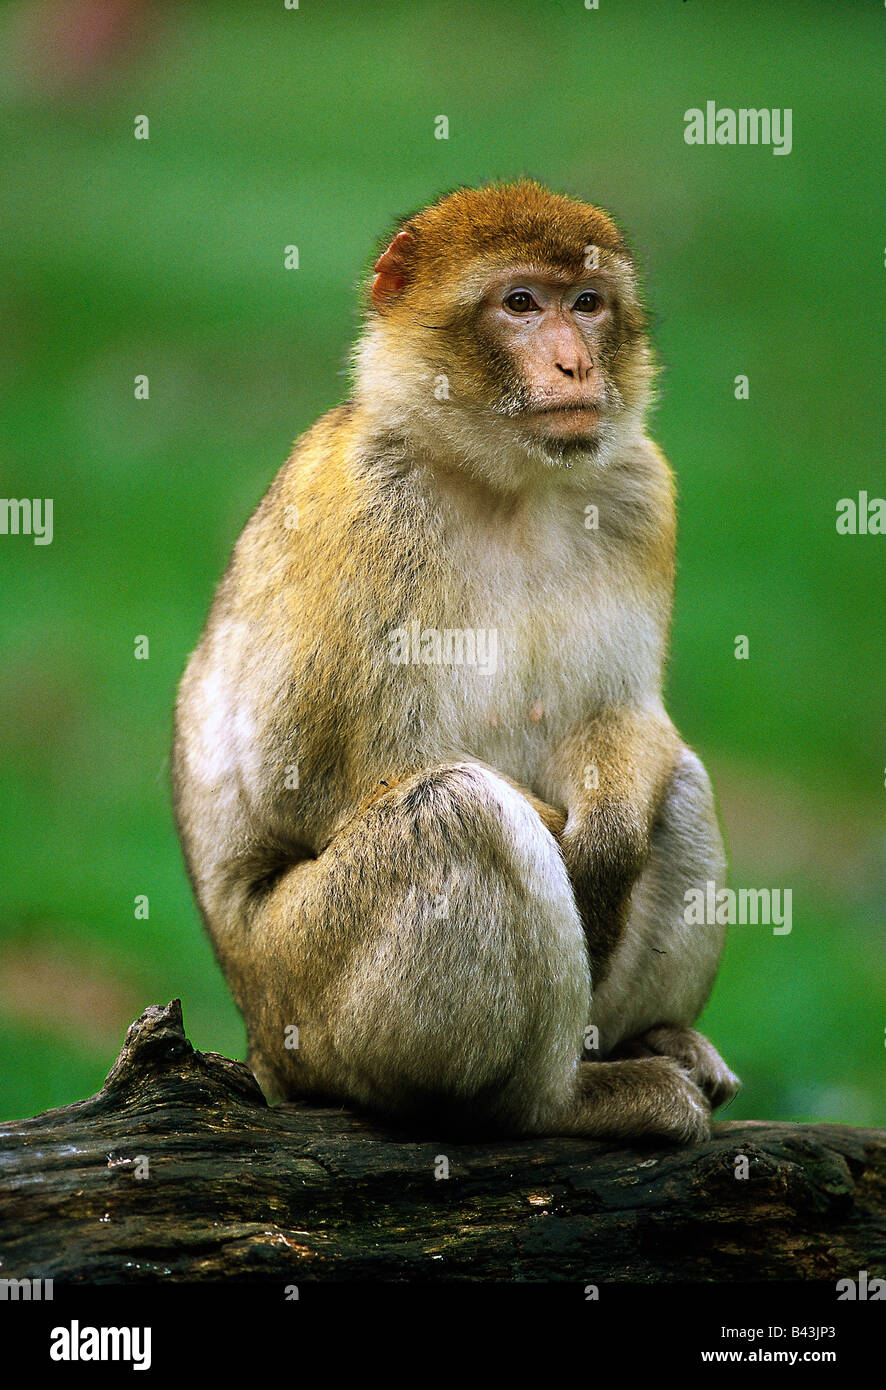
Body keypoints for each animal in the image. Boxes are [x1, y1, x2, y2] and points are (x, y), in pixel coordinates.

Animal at [172, 179, 739, 1144]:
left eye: (588, 303)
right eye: (522, 303)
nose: (575, 368)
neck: (506, 484)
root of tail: (259, 1043)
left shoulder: (641, 492)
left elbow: (627, 719)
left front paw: (607, 841)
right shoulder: (360, 507)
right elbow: (302, 776)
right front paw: (566, 850)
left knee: (678, 784)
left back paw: (653, 1036)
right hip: (312, 1000)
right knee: (456, 812)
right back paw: (563, 1102)